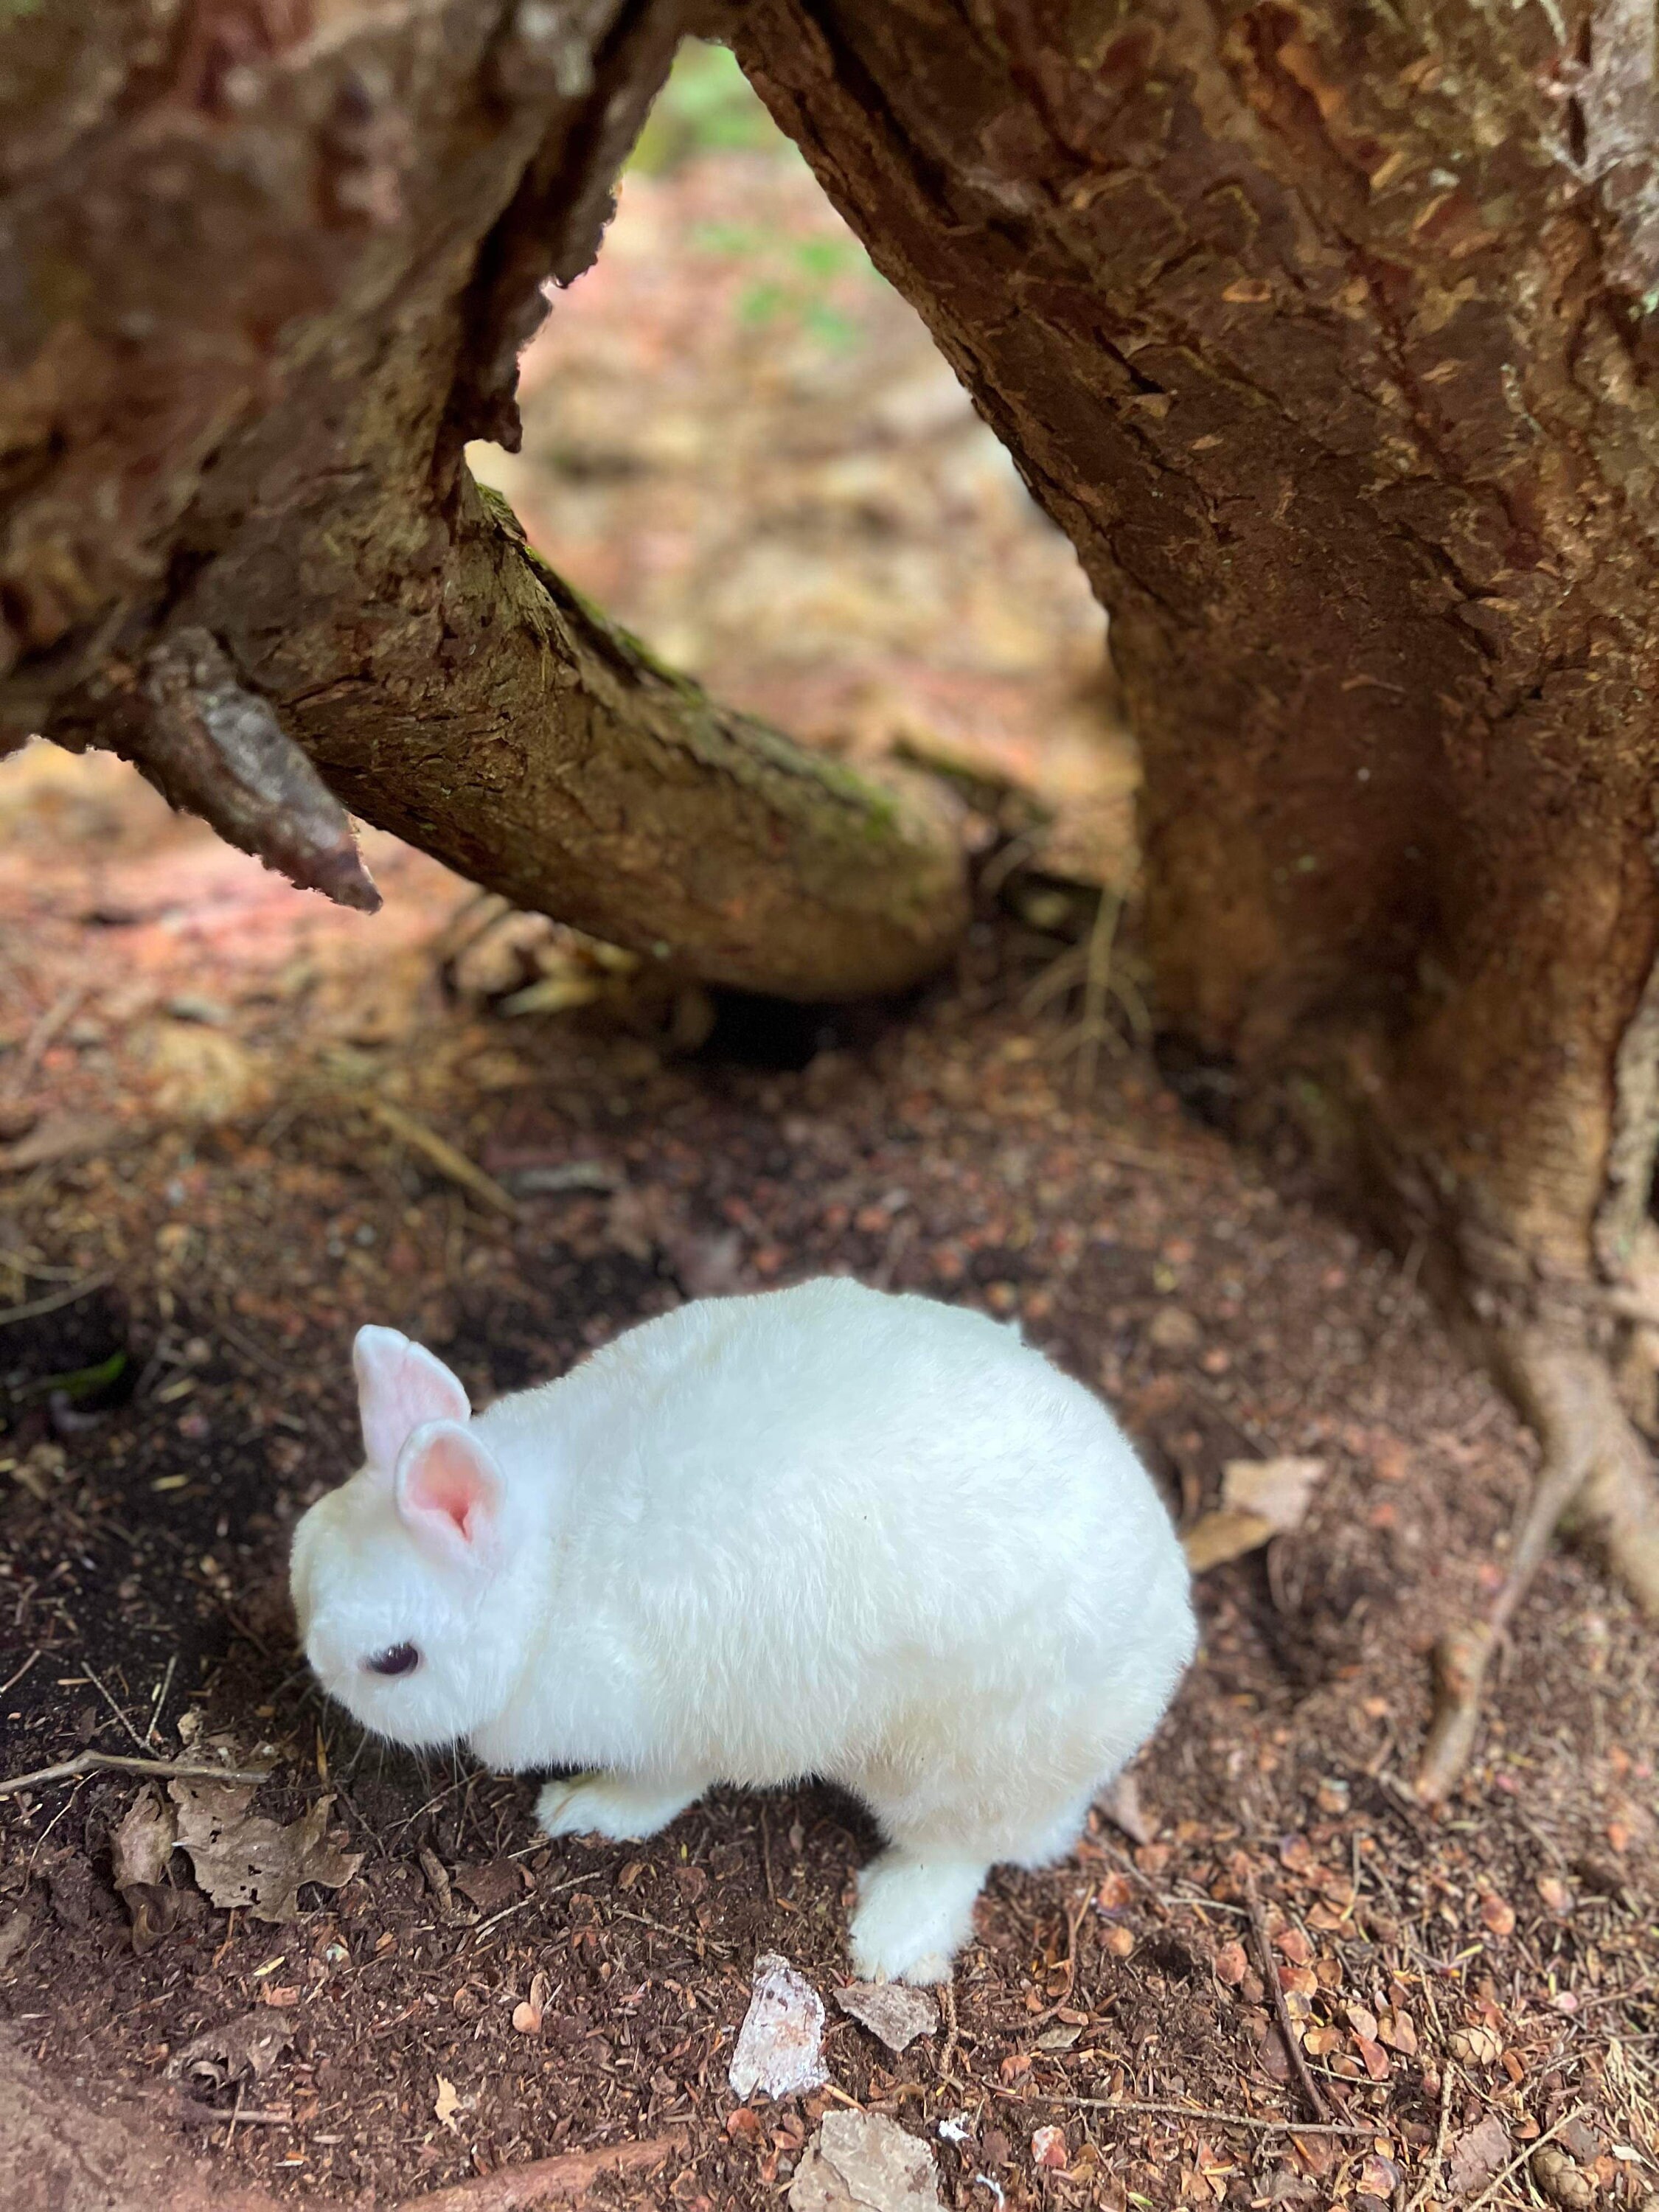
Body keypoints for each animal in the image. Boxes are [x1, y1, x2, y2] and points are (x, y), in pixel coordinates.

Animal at [290, 1276, 1195, 1984]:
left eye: (394, 1661)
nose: (320, 1682)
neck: (545, 1573)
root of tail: (1168, 1633)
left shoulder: (670, 1729)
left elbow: (653, 1794)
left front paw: (580, 1811)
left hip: (961, 1768)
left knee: (954, 1856)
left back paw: (889, 1936)